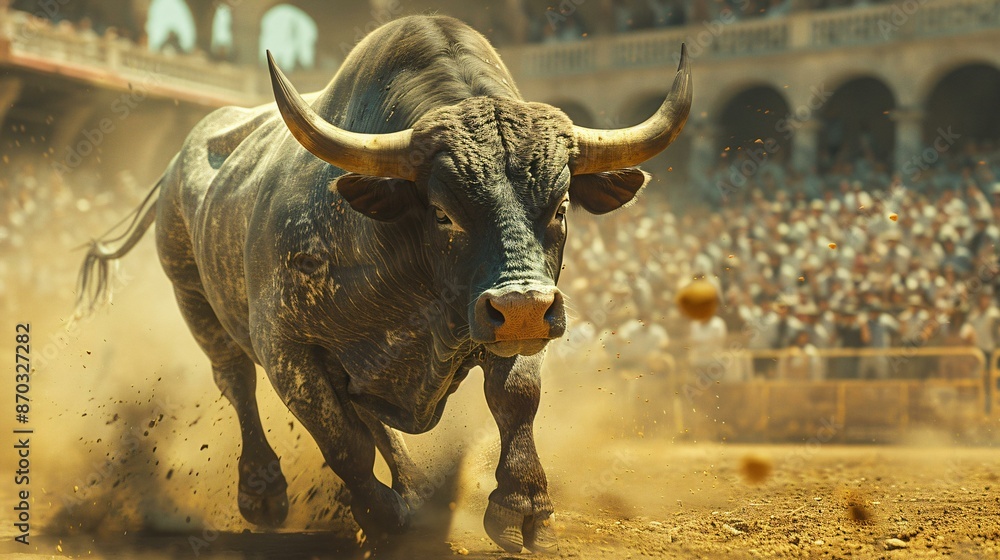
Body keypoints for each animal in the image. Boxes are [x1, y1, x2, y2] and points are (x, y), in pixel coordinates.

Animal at [75, 15, 691, 553]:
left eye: (561, 207)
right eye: (443, 212)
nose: (518, 305)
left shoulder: (518, 326)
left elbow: (515, 397)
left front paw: (524, 509)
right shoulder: (287, 349)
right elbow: (341, 441)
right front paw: (385, 519)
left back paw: (414, 486)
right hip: (192, 296)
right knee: (236, 379)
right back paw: (264, 491)